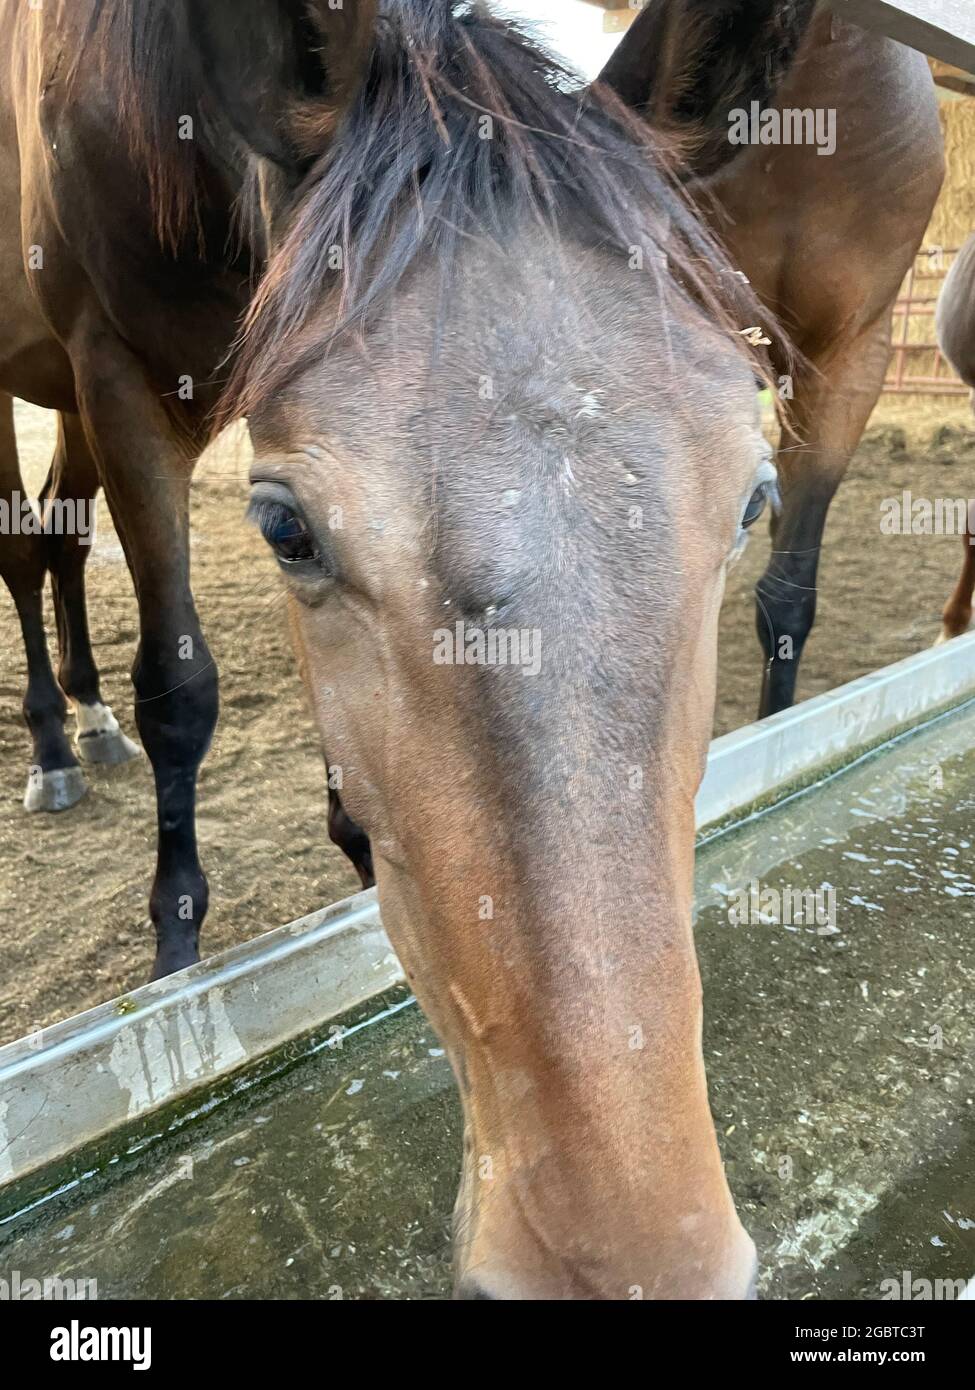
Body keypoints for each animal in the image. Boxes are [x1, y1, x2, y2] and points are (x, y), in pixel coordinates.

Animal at [1, 0, 817, 1295]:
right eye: (283, 528)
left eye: (753, 500)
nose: (635, 1249)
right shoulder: (115, 380)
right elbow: (179, 688)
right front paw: (176, 955)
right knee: (31, 555)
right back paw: (51, 742)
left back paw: (81, 717)